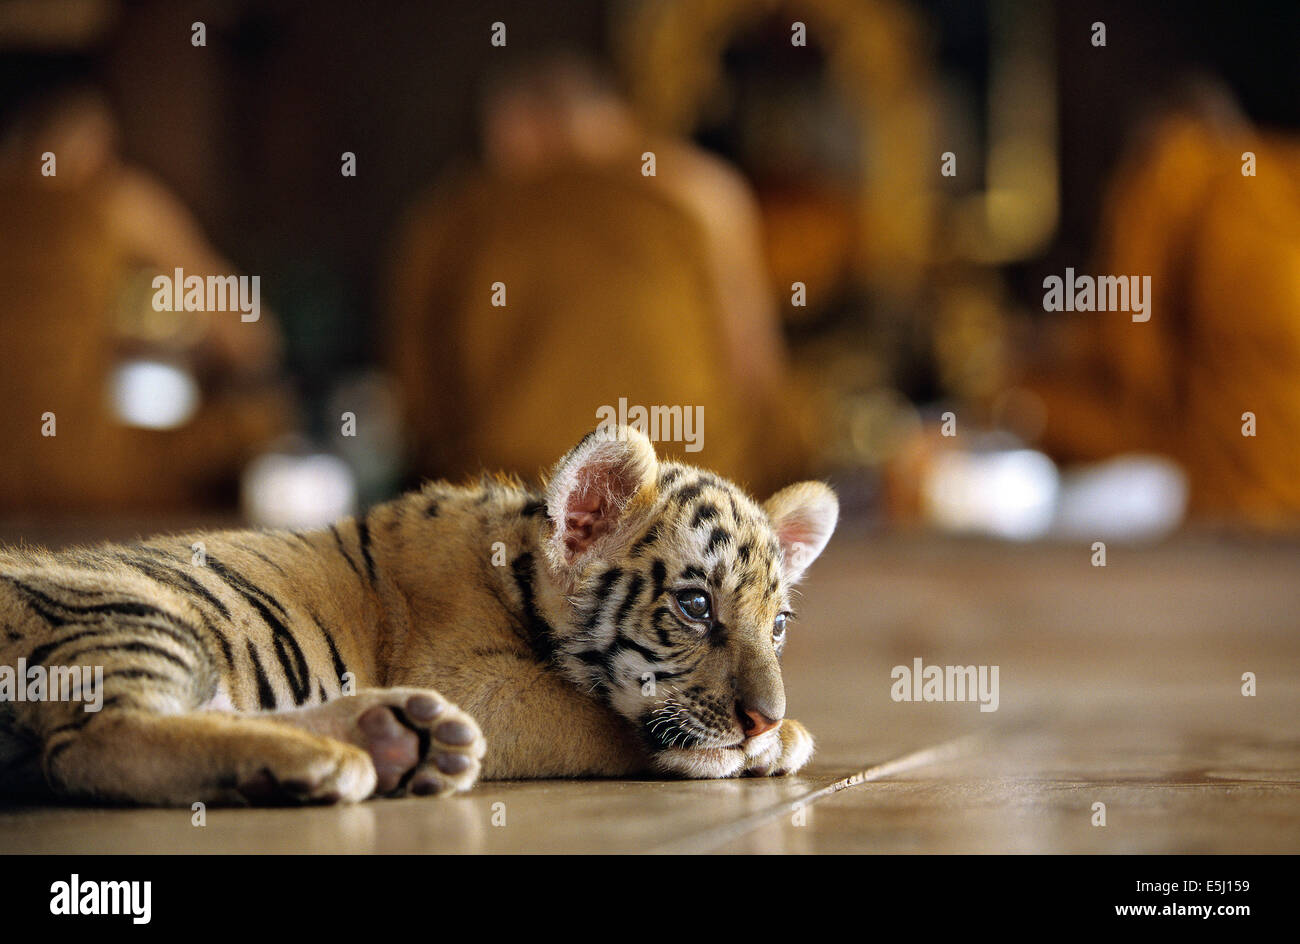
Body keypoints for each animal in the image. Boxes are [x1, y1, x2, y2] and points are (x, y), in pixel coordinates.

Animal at [0, 425, 838, 805]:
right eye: (695, 606)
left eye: (778, 626)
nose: (765, 718)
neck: (517, 570)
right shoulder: (477, 684)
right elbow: (593, 717)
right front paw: (767, 742)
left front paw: (782, 737)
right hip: (132, 613)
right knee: (88, 740)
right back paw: (330, 761)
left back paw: (394, 739)